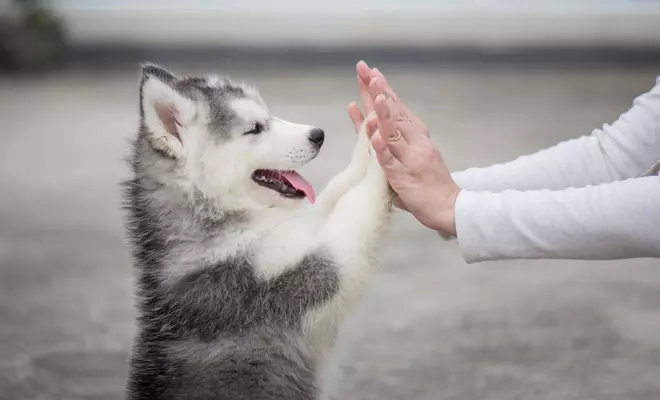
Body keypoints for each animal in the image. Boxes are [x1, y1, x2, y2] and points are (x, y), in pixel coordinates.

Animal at [122, 64, 392, 398]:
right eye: (255, 128)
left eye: (269, 115)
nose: (318, 135)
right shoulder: (298, 276)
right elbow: (356, 208)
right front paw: (384, 150)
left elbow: (333, 192)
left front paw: (370, 134)